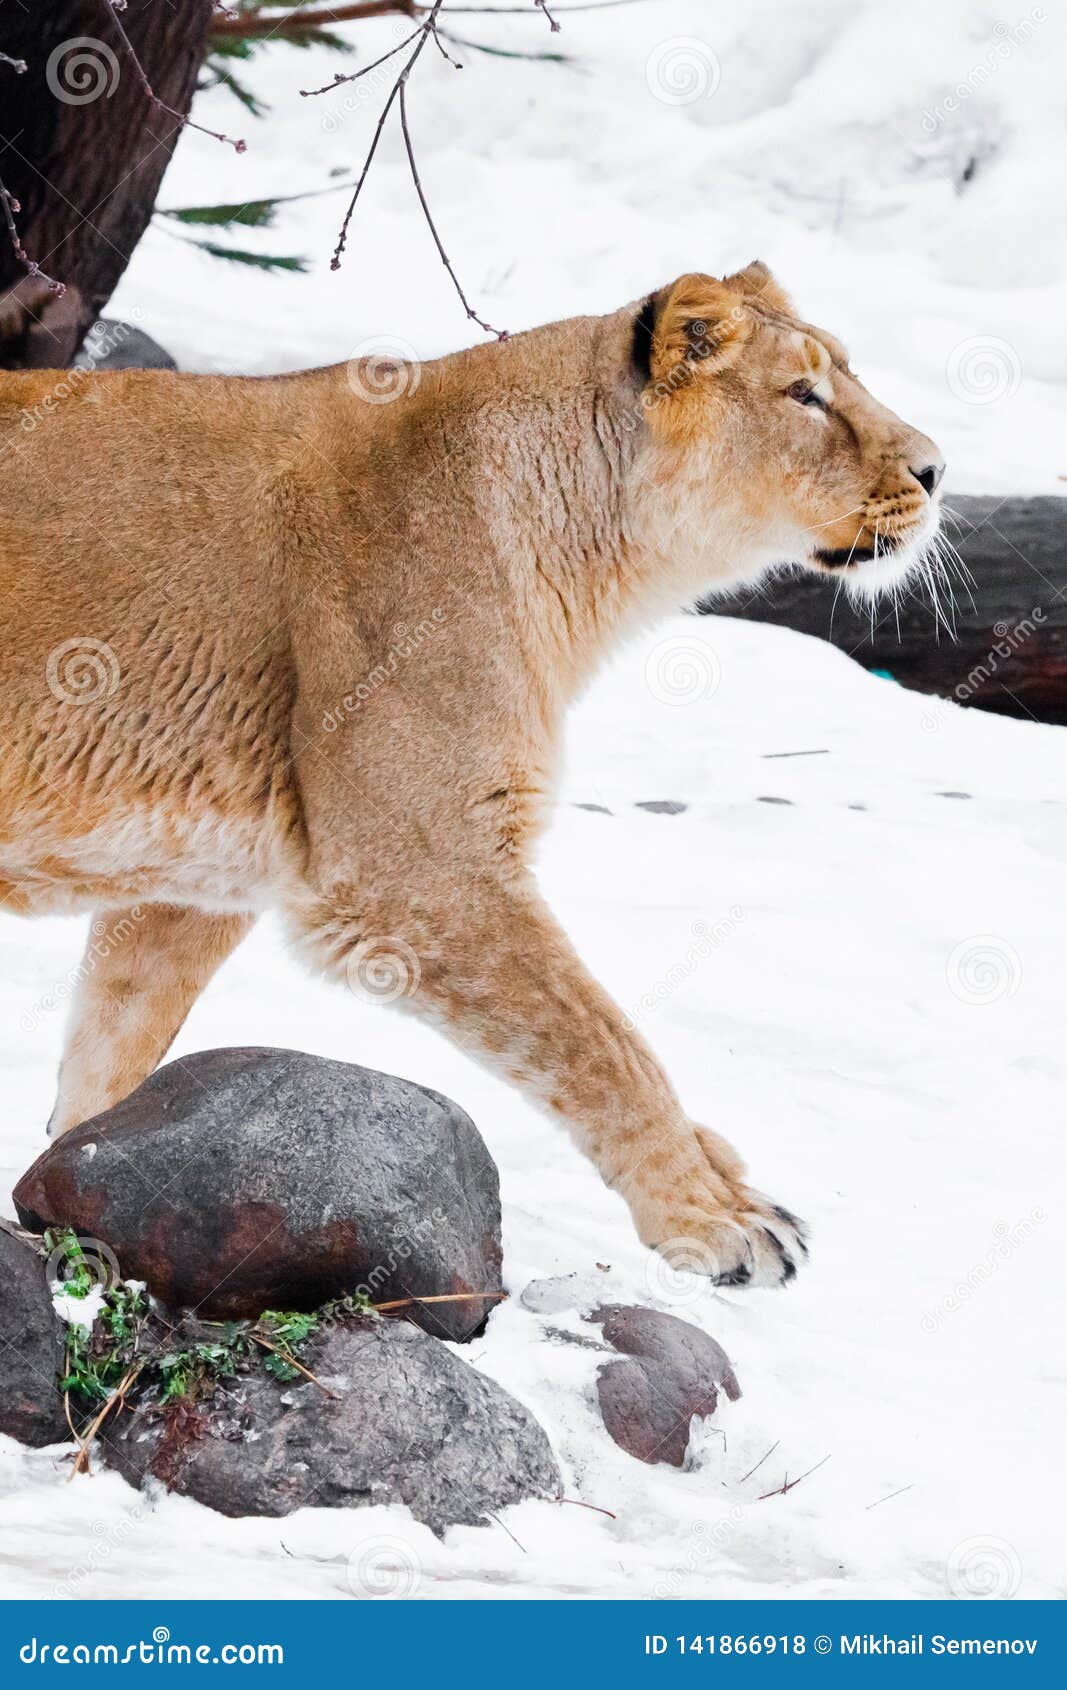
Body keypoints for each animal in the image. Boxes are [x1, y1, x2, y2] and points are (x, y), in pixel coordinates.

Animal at [0, 262, 944, 1287]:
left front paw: (75, 1199)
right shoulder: (418, 873)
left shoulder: (198, 884)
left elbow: (112, 1048)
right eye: (802, 394)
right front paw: (711, 1220)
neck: (591, 563)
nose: (936, 469)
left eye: (844, 372)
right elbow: (606, 1044)